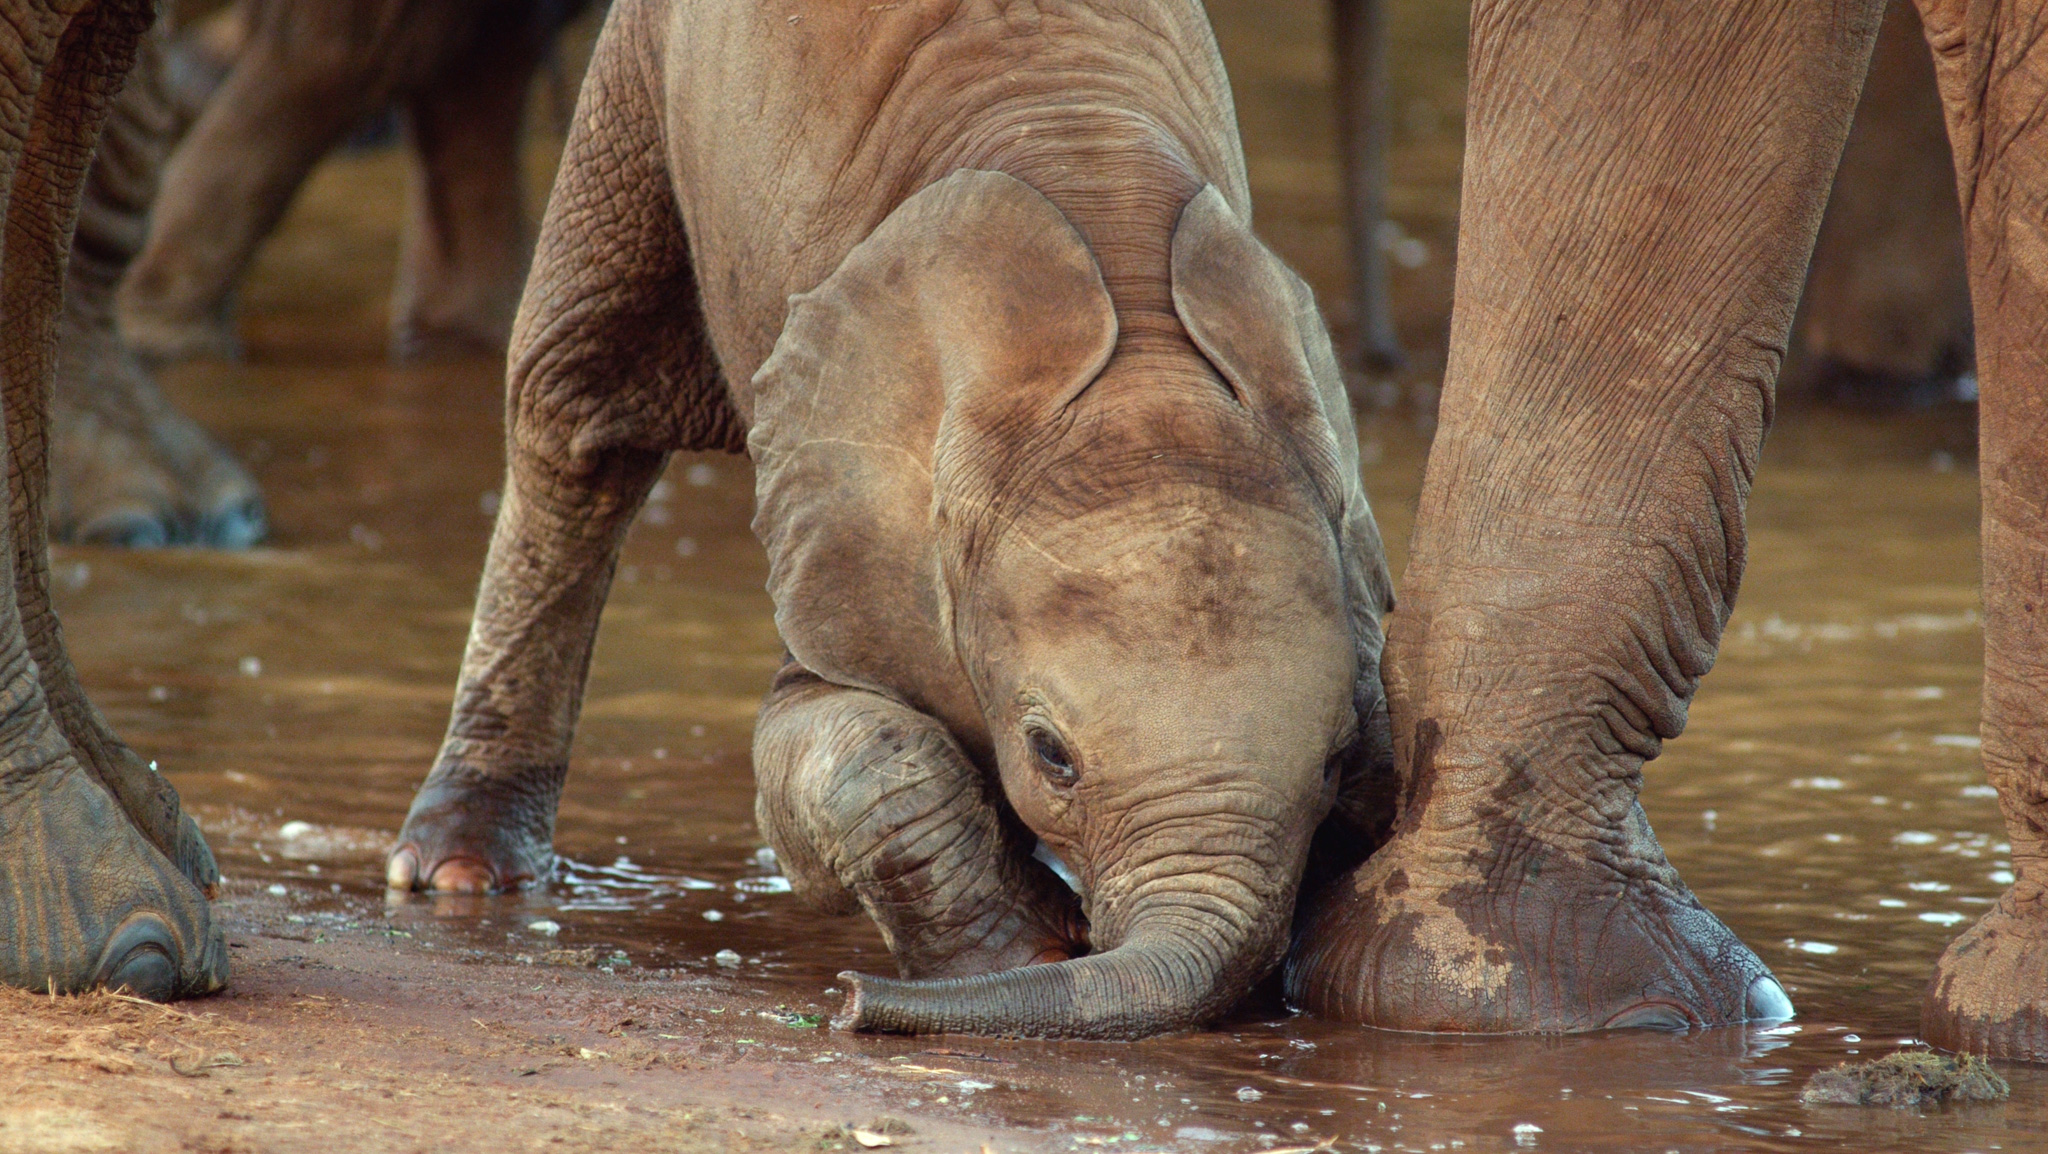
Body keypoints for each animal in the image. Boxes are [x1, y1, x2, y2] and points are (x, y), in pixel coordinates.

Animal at [384, 0, 1402, 1041]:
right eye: (1052, 758)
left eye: (1333, 759)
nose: (846, 1003)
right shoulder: (849, 531)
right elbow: (829, 742)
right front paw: (1027, 950)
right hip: (639, 77)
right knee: (575, 408)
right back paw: (458, 873)